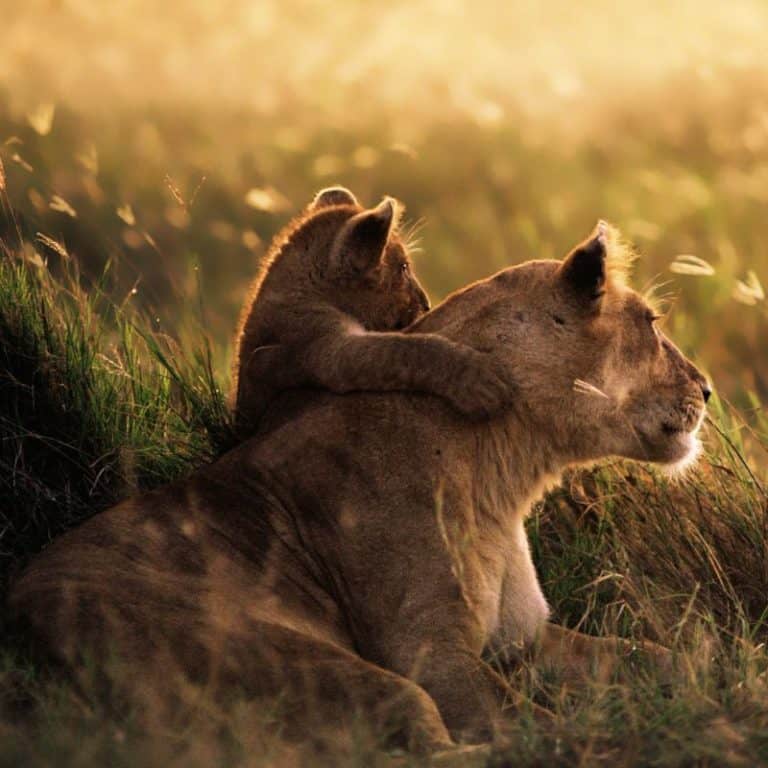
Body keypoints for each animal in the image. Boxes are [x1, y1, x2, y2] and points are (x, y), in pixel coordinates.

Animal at [7, 221, 710, 753]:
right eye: (651, 322)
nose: (706, 389)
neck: (506, 470)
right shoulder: (429, 652)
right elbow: (532, 726)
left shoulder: (525, 639)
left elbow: (653, 655)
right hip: (310, 663)